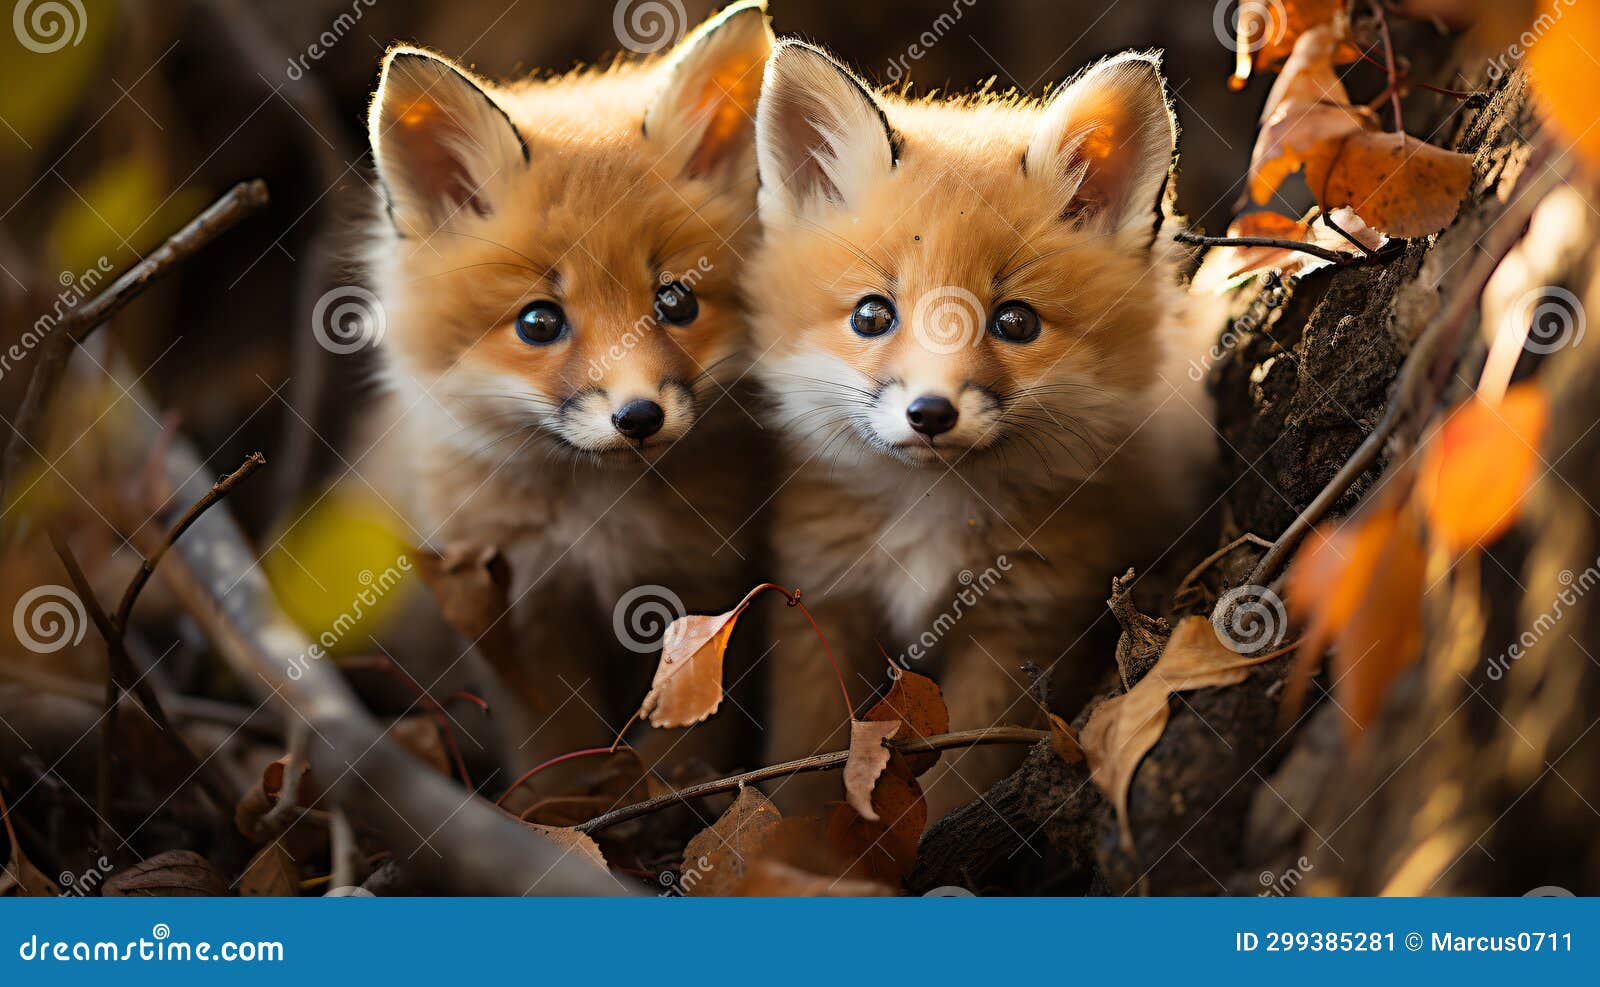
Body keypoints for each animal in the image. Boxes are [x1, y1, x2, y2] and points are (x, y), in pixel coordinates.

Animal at [352, 2, 775, 784]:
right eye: (539, 322)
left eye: (675, 301)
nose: (638, 416)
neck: (595, 525)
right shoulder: (525, 611)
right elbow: (554, 750)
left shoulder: (700, 585)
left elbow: (689, 734)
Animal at [746, 42, 1218, 818]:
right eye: (872, 315)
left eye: (1016, 322)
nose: (931, 414)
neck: (931, 518)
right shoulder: (822, 602)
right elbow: (800, 767)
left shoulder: (1020, 626)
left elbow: (956, 785)